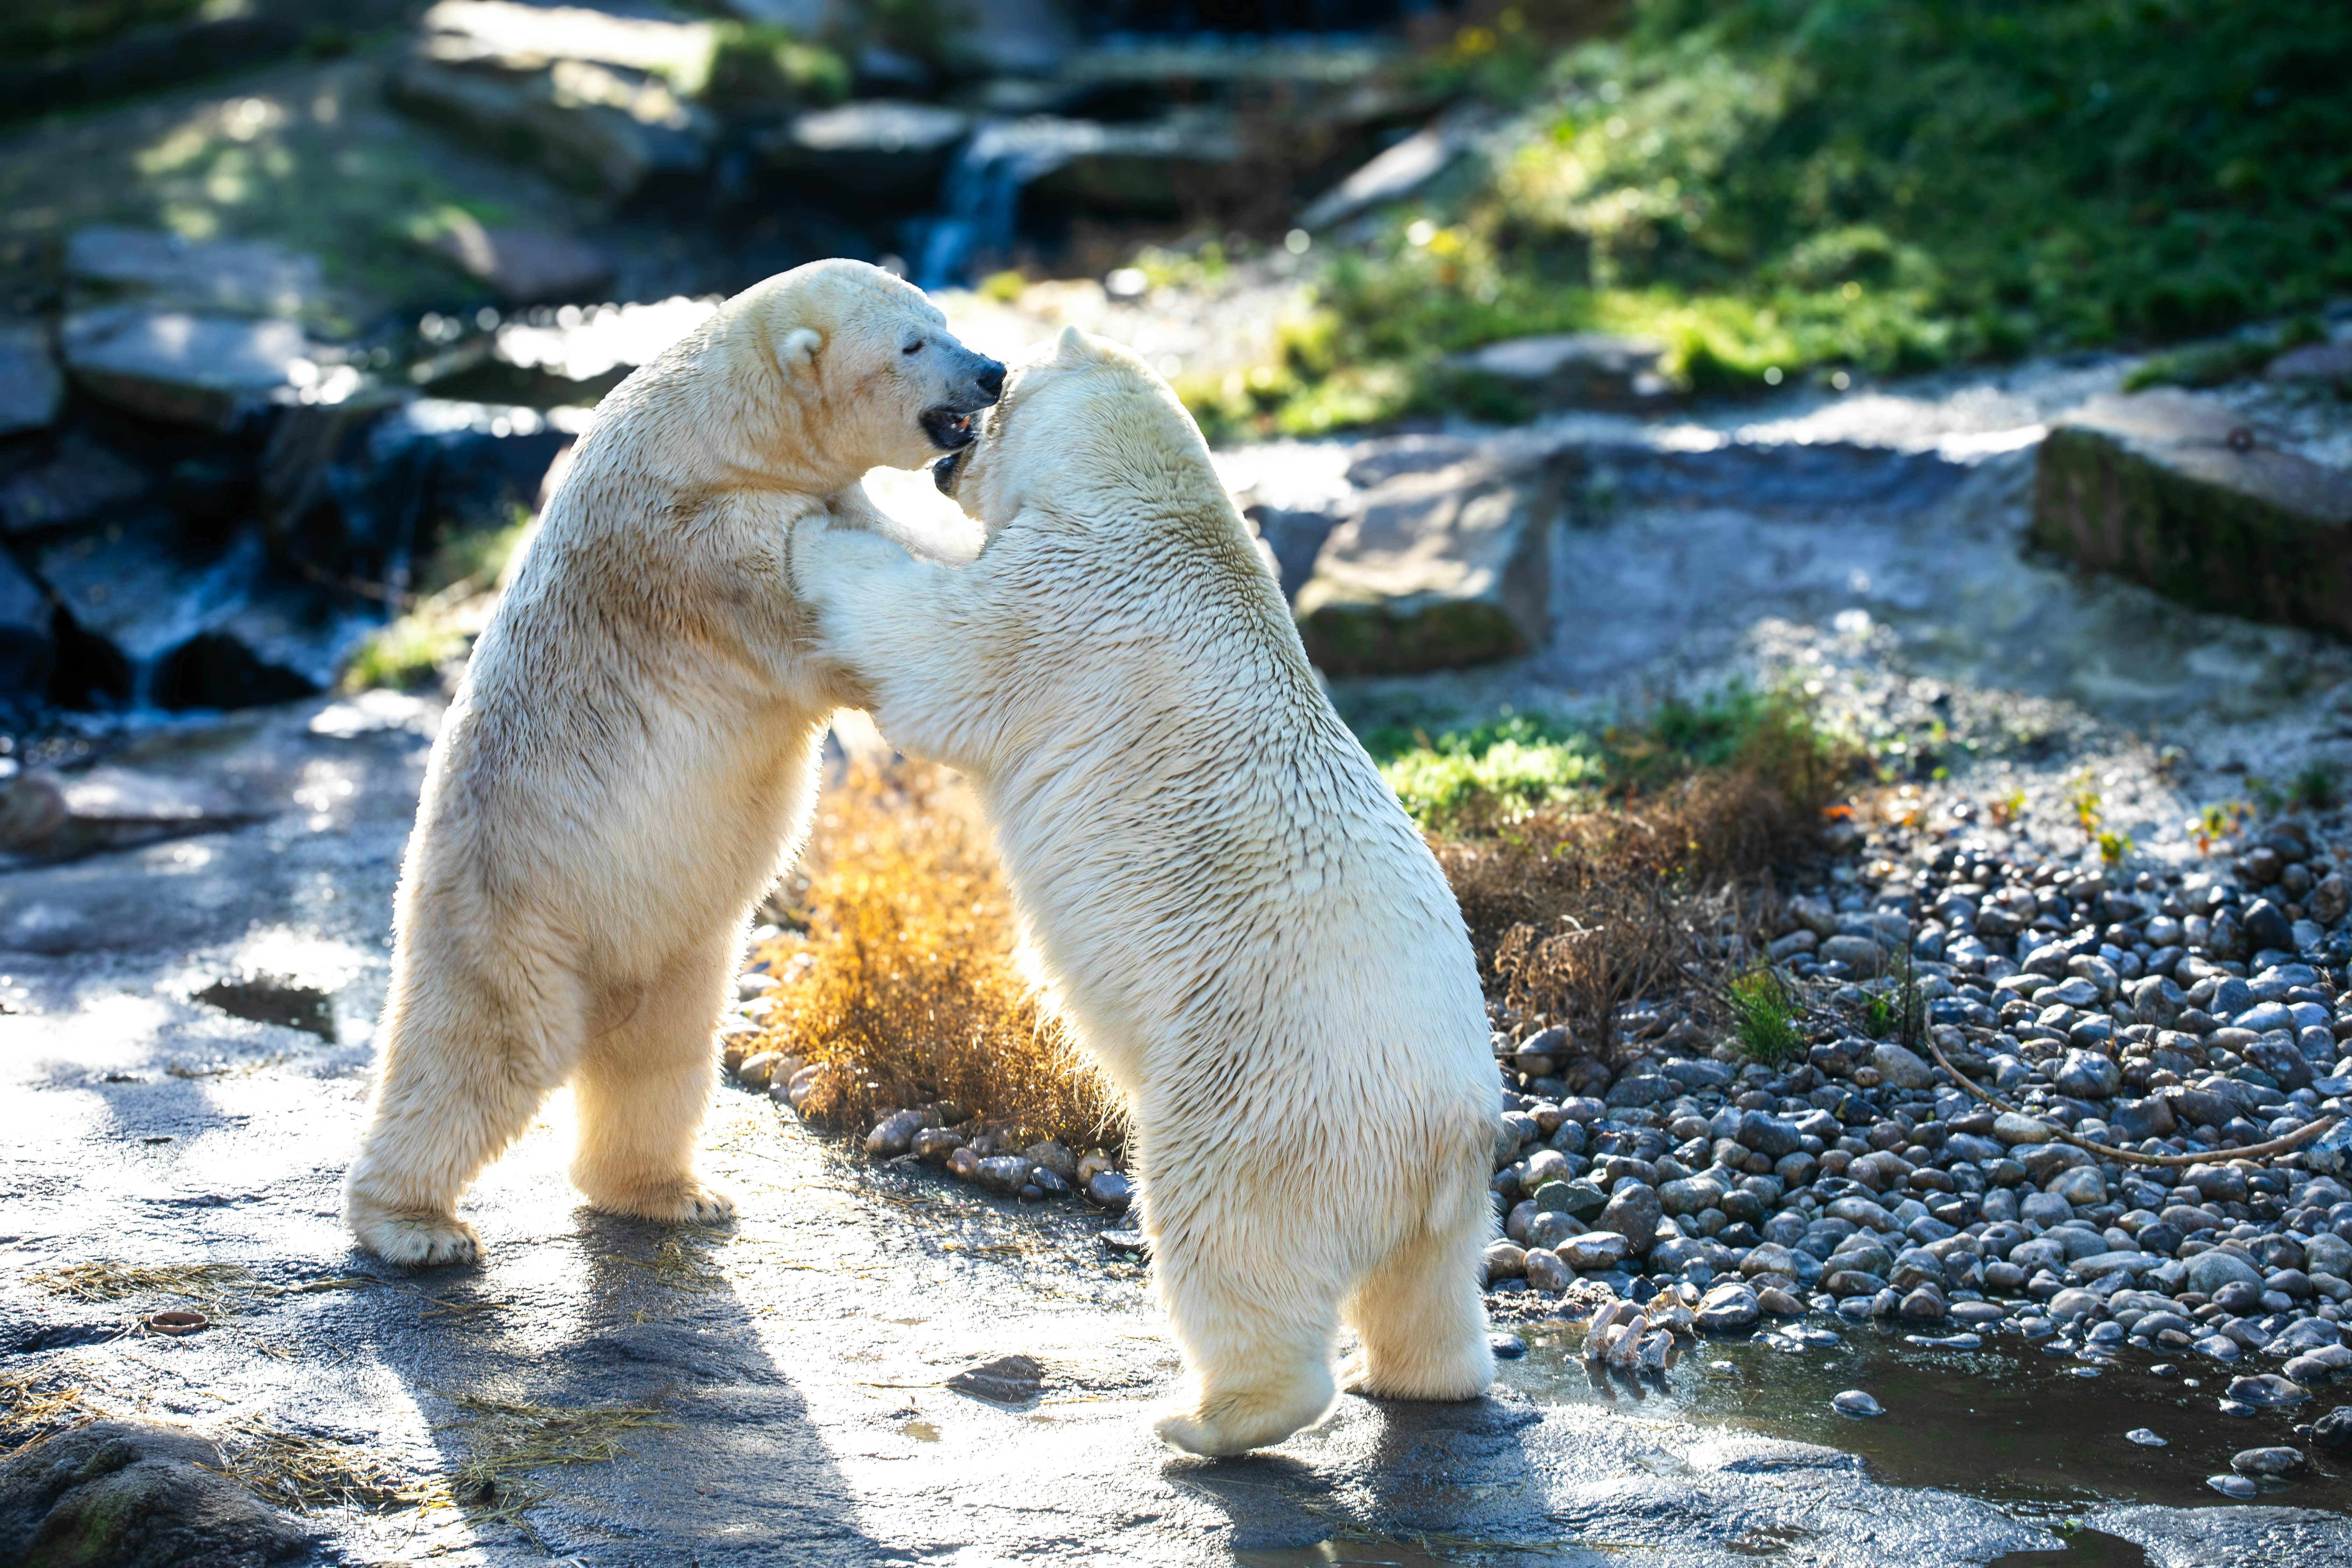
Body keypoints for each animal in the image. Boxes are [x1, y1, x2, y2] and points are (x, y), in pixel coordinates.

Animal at [342, 259, 1004, 1267]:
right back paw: (415, 1226)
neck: (720, 436)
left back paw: (673, 1193)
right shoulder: (693, 546)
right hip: (514, 907)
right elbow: (824, 616)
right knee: (484, 1051)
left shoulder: (817, 496)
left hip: (678, 940)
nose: (994, 371)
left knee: (663, 1058)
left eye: (944, 318)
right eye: (913, 342)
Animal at [790, 326, 1498, 1454]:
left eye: (1004, 382)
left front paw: (816, 532)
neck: (1162, 505)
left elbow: (941, 648)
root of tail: (1445, 1131)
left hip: (1263, 1098)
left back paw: (1208, 1419)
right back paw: (1416, 1378)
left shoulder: (1072, 596)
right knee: (1427, 1290)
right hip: (1450, 1192)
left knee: (1228, 1240)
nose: (979, 389)